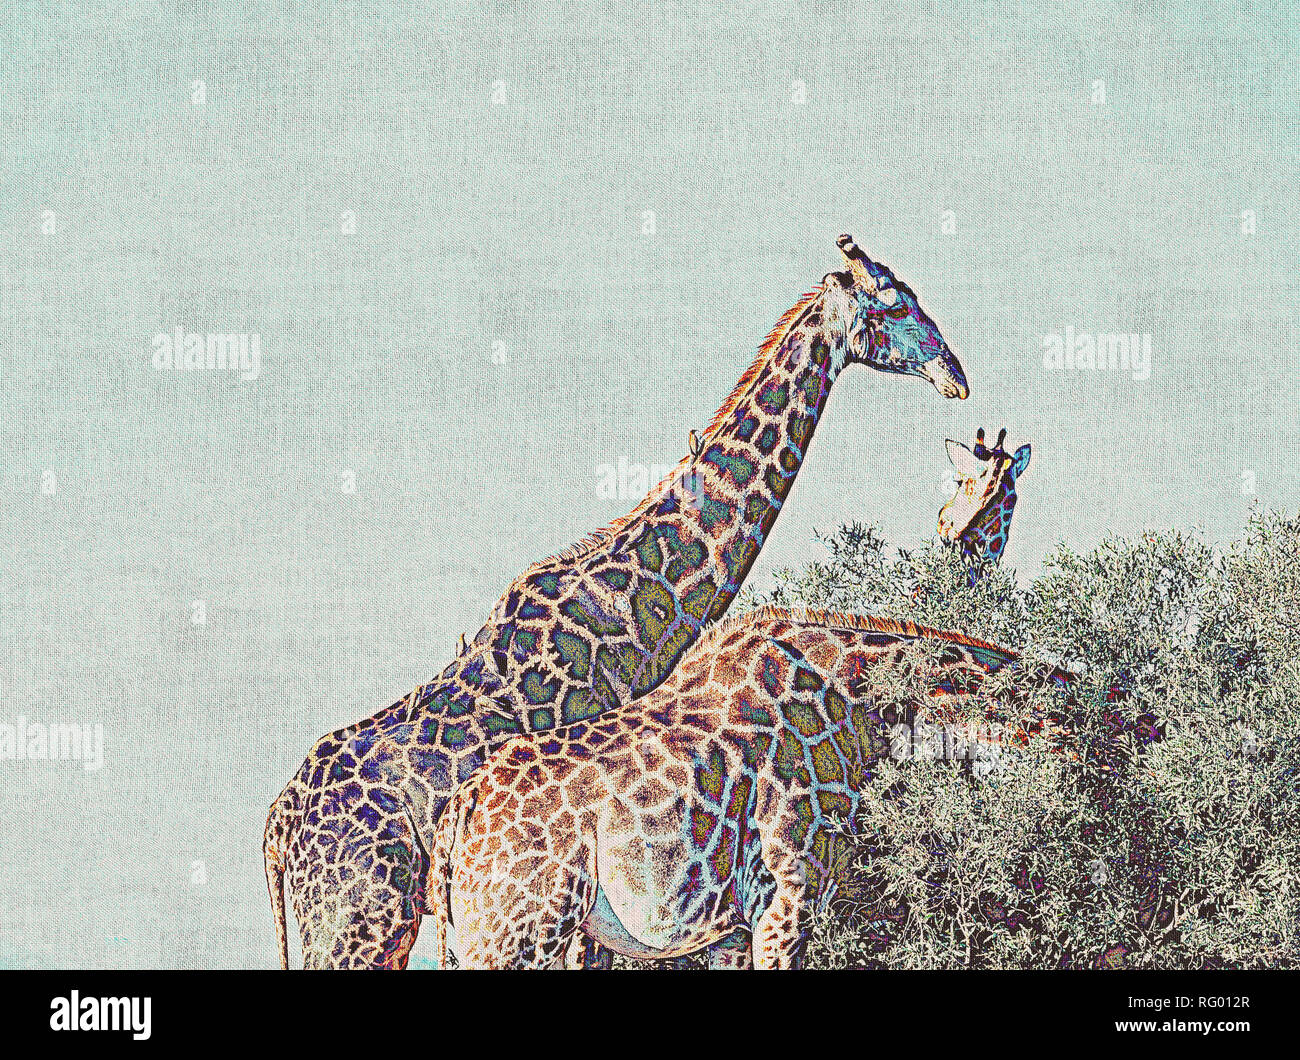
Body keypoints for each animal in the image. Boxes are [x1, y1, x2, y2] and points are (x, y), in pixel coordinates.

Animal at [427, 606, 1065, 970]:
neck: (871, 708)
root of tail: (459, 813)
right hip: (518, 930)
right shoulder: (792, 896)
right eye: (1051, 718)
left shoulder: (732, 928)